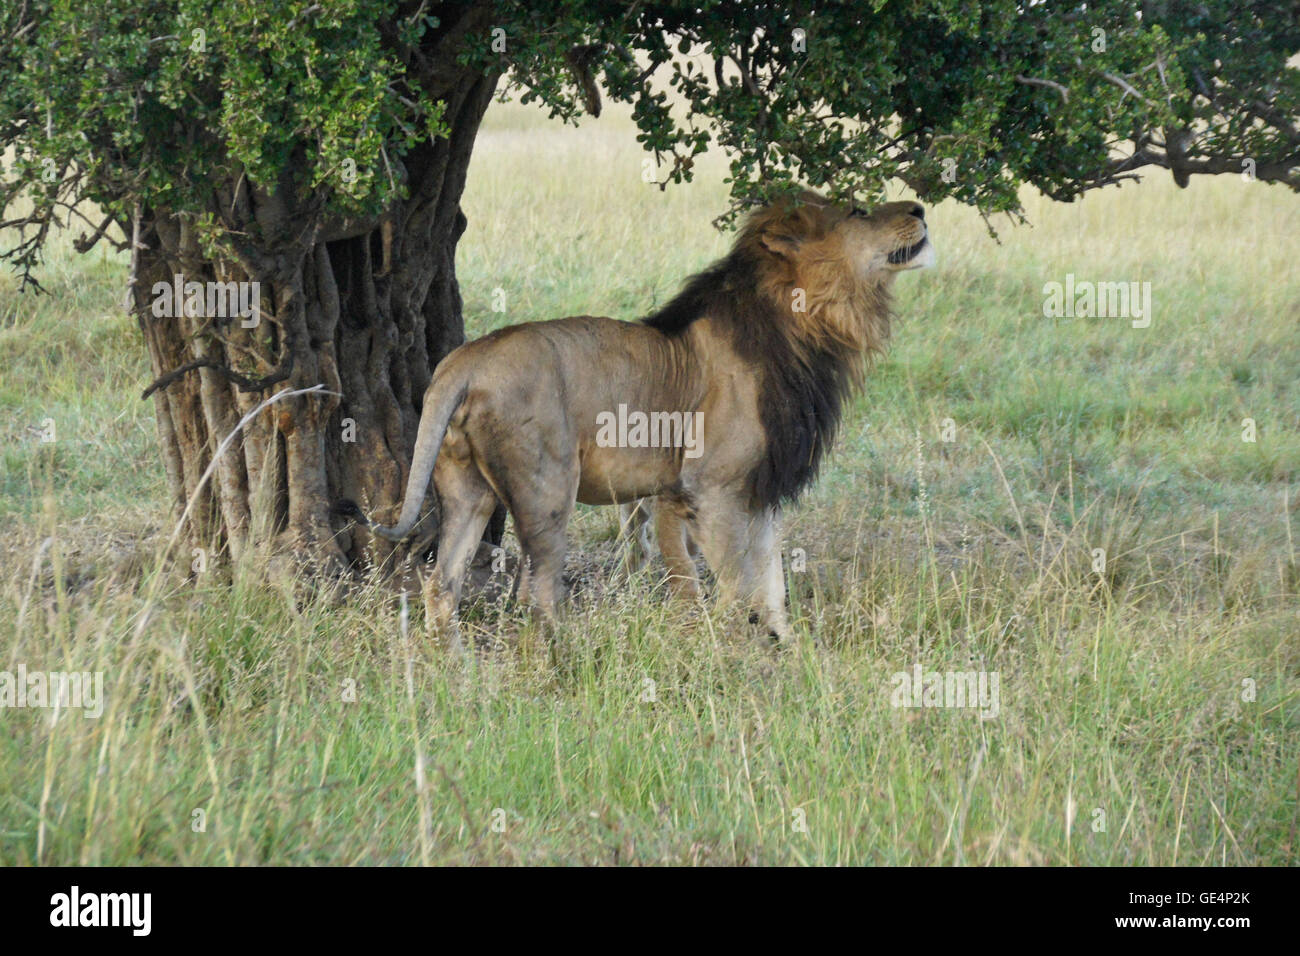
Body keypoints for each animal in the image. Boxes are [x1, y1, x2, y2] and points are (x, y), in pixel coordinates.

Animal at [336, 192, 932, 651]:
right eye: (857, 209)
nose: (920, 207)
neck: (810, 325)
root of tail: (463, 362)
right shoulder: (708, 488)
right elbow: (734, 585)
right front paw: (730, 653)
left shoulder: (749, 491)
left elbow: (770, 580)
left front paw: (791, 652)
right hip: (548, 489)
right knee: (537, 592)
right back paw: (565, 665)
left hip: (469, 491)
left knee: (442, 586)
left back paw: (459, 673)